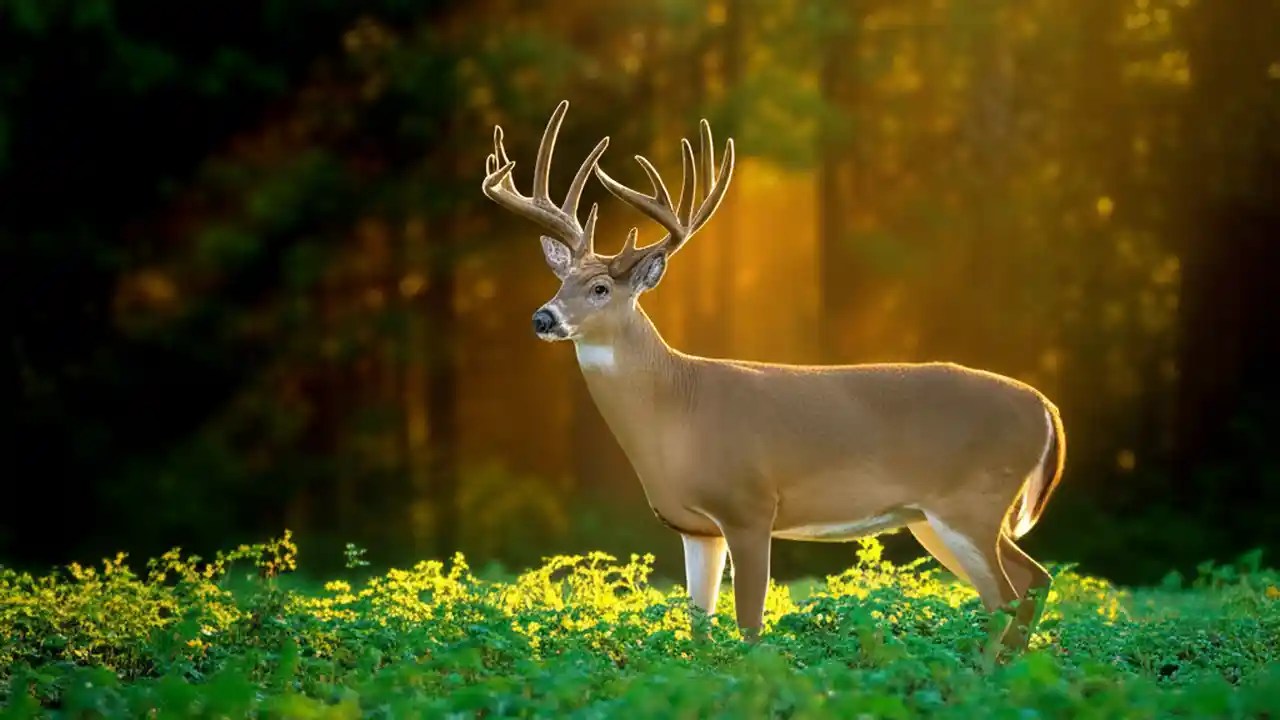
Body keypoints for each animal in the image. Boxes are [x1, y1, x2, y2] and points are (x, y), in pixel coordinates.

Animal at [480, 101, 1067, 651]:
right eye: (561, 282)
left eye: (601, 288)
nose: (543, 318)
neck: (676, 409)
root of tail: (1047, 408)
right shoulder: (697, 528)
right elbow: (699, 629)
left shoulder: (750, 506)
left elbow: (750, 626)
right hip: (934, 517)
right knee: (1033, 580)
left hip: (970, 501)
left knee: (1005, 597)